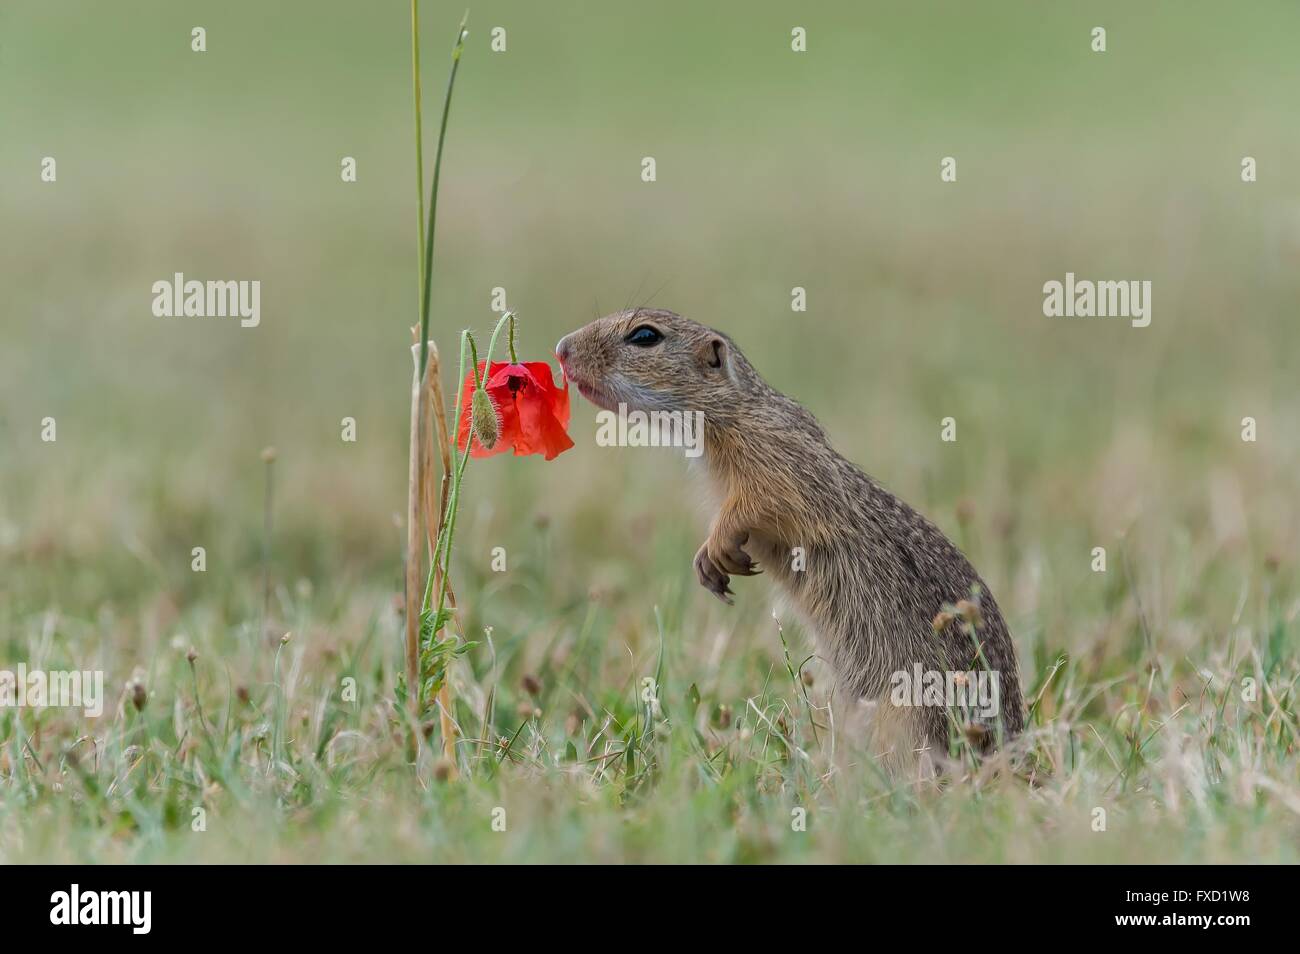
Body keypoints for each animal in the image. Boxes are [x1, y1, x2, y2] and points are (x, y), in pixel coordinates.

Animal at [556, 308, 1025, 766]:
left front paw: (717, 547)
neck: (734, 413)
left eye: (645, 336)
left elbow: (760, 504)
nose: (562, 349)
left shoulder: (776, 458)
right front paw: (707, 563)